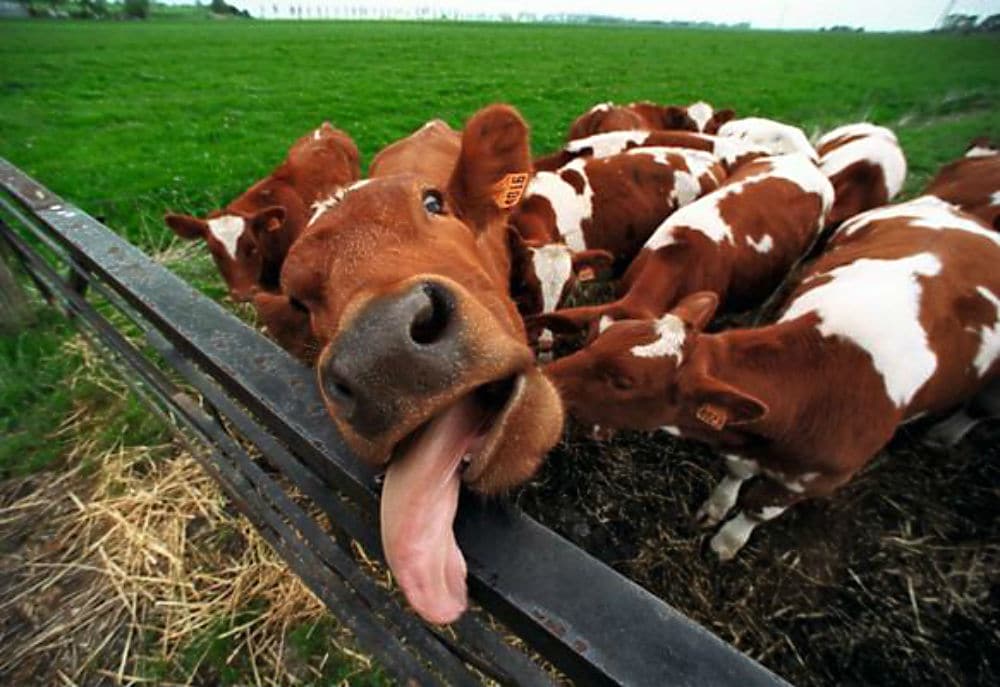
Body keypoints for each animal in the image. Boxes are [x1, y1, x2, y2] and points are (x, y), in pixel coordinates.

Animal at [544, 195, 1000, 560]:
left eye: (624, 381)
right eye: (591, 341)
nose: (546, 377)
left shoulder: (816, 479)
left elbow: (758, 507)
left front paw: (726, 543)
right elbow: (735, 473)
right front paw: (715, 507)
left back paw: (944, 435)